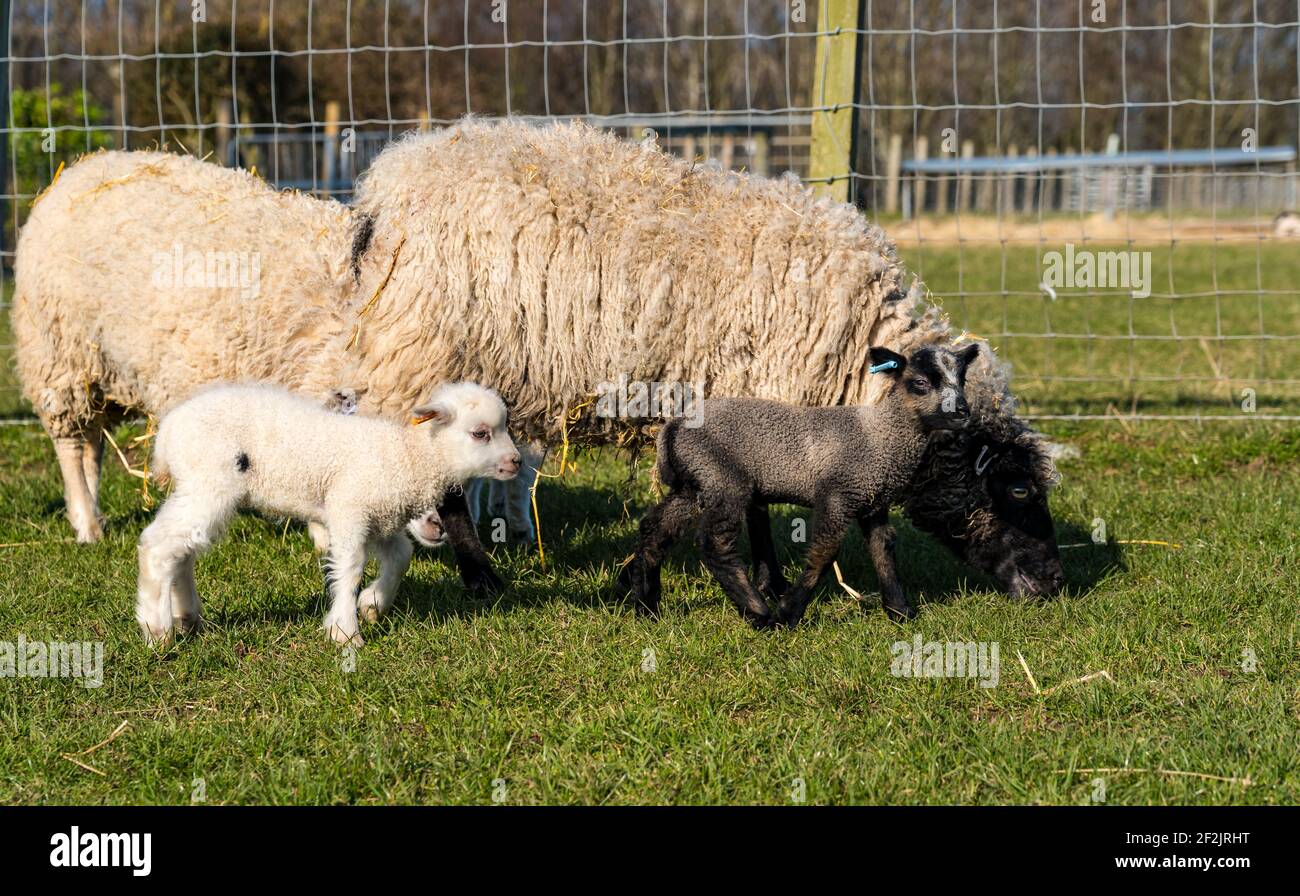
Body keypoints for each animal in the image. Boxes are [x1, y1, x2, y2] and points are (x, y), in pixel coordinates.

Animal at [12, 117, 1062, 599]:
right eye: (1011, 487)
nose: (1051, 585)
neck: (852, 354)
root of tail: (384, 194)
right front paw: (763, 586)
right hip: (73, 354)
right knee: (73, 442)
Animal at [137, 381, 521, 647]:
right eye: (480, 433)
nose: (515, 461)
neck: (409, 455)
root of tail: (167, 432)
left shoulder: (379, 516)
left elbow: (400, 556)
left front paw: (373, 604)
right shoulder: (349, 507)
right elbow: (350, 569)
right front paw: (345, 632)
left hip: (200, 488)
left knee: (182, 549)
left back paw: (187, 618)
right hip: (210, 482)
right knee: (158, 545)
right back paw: (157, 629)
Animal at [623, 343, 981, 629]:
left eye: (961, 380)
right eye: (921, 383)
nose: (963, 412)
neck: (882, 435)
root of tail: (676, 424)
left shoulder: (873, 501)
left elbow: (884, 550)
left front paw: (900, 610)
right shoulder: (838, 494)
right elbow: (824, 553)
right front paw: (788, 613)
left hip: (695, 483)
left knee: (654, 529)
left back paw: (646, 606)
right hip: (723, 479)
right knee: (714, 544)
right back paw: (758, 613)